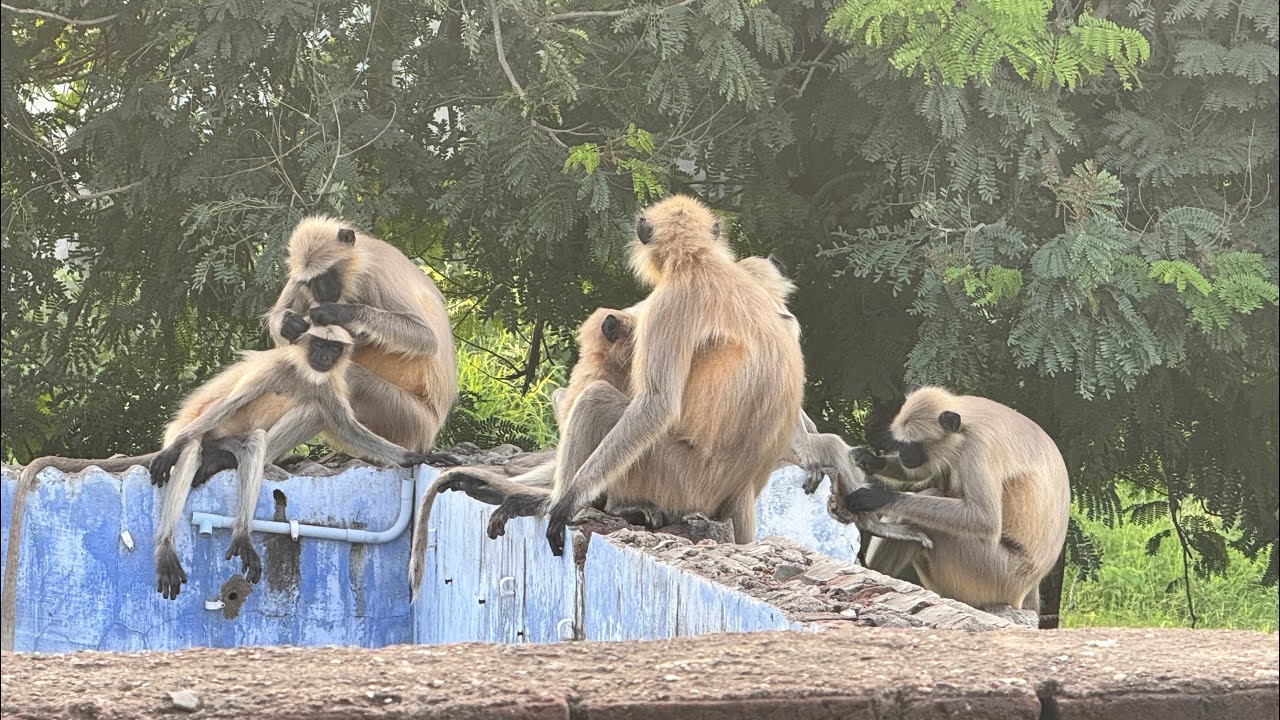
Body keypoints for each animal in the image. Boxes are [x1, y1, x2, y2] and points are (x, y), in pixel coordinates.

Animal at [264, 216, 458, 456]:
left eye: (325, 275)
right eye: (310, 281)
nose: (319, 292)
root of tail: (429, 436)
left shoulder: (378, 273)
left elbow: (427, 338)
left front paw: (340, 313)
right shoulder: (299, 278)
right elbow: (281, 317)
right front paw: (288, 324)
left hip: (410, 421)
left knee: (349, 380)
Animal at [844, 385, 1070, 611]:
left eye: (914, 445)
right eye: (901, 444)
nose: (904, 455)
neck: (967, 423)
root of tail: (1029, 585)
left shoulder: (978, 446)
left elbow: (985, 520)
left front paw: (880, 497)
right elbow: (920, 472)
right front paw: (869, 460)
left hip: (994, 574)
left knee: (929, 505)